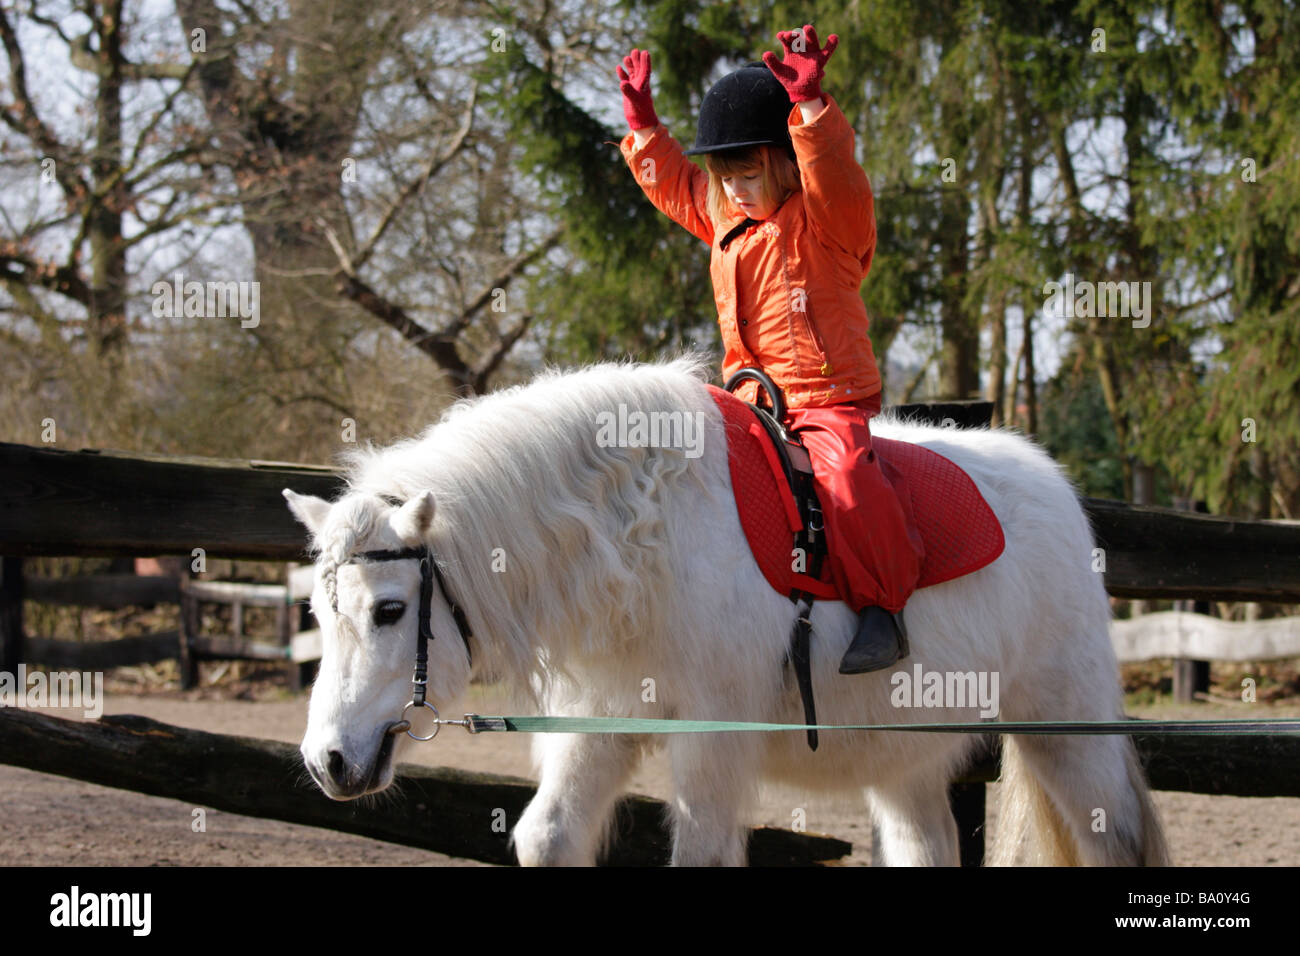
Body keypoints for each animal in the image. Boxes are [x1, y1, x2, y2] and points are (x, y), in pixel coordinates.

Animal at [284, 355, 1168, 866]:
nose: (328, 761)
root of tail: (1054, 486)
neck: (640, 535)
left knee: (1116, 840)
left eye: (389, 610)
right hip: (907, 762)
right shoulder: (603, 721)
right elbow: (546, 837)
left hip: (1064, 727)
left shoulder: (712, 737)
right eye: (320, 618)